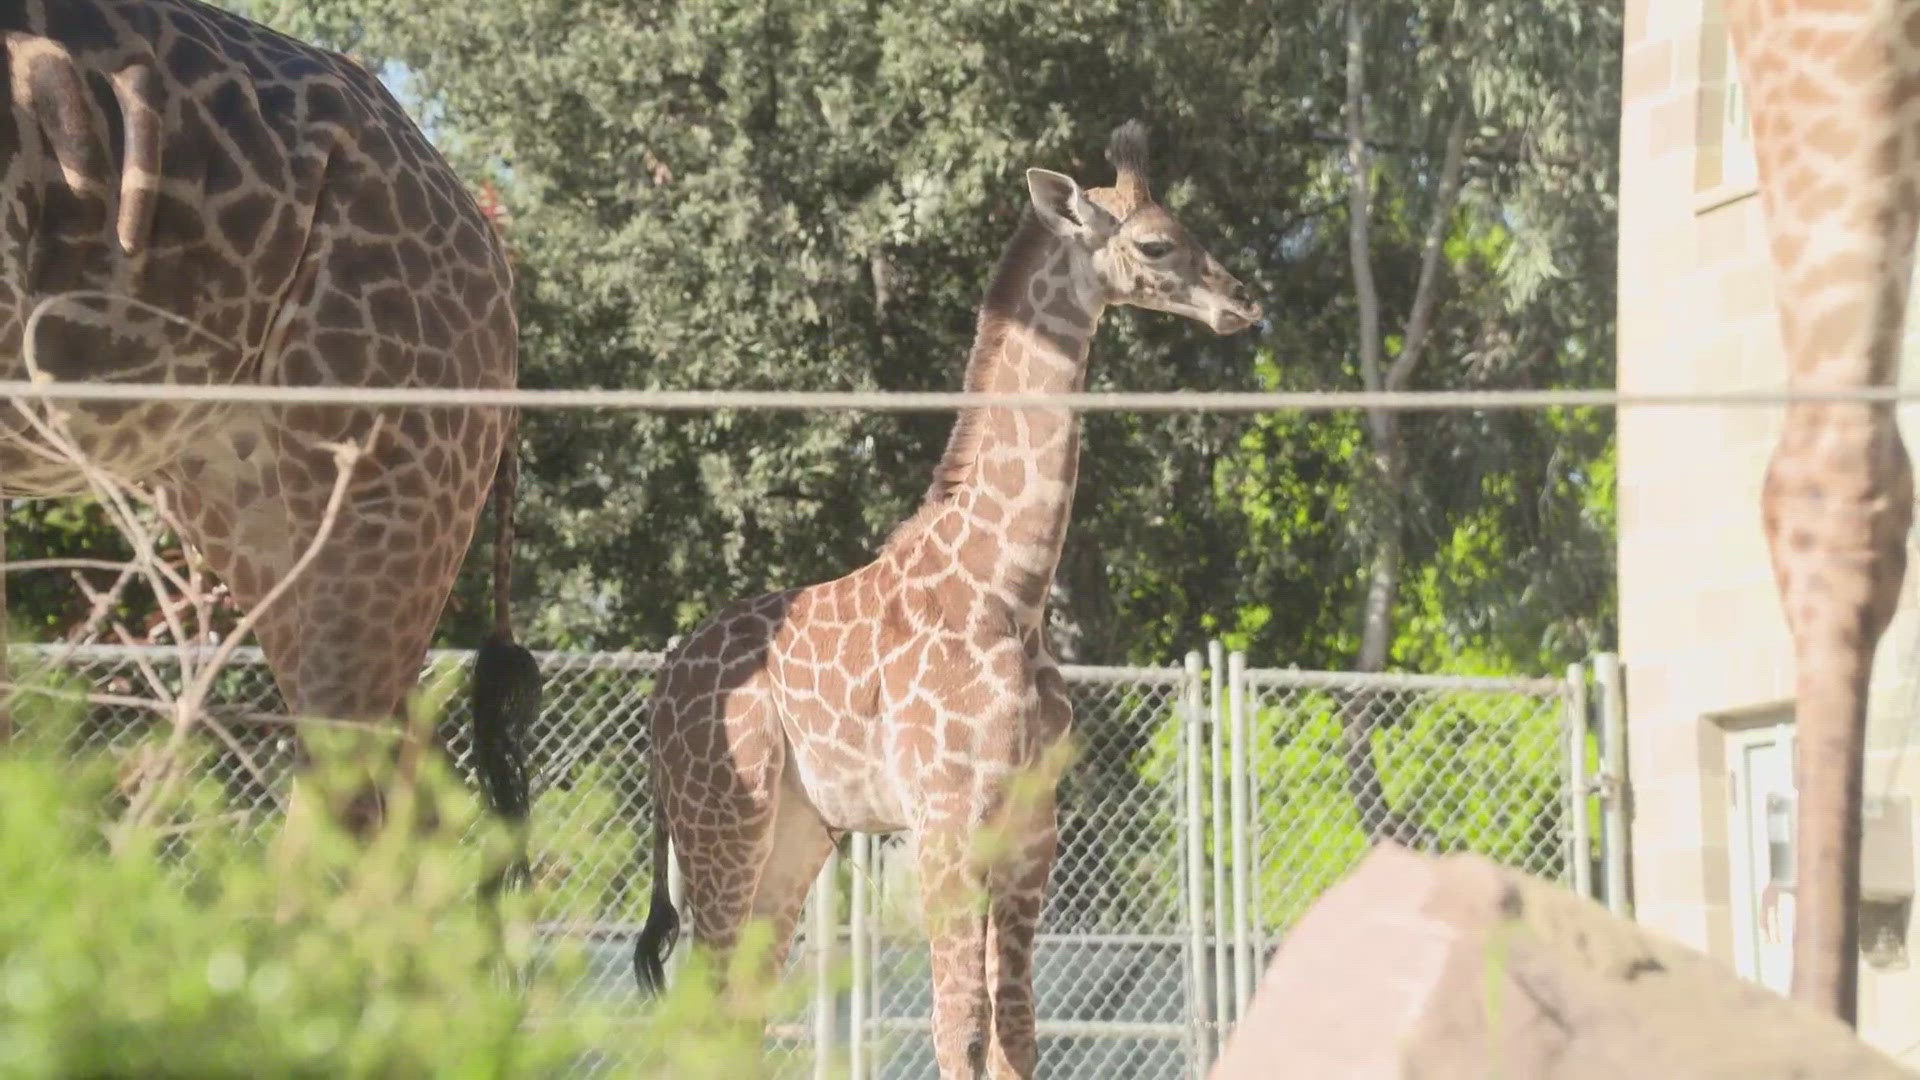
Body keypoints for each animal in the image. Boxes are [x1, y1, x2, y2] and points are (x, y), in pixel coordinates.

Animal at [629, 121, 1261, 1078]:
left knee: (742, 1016)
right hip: (722, 821)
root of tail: (663, 686)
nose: (1242, 302)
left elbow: (1016, 1030)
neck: (1011, 589)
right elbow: (956, 1023)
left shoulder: (1032, 829)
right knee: (704, 1015)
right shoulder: (945, 816)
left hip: (795, 836)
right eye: (1156, 243)